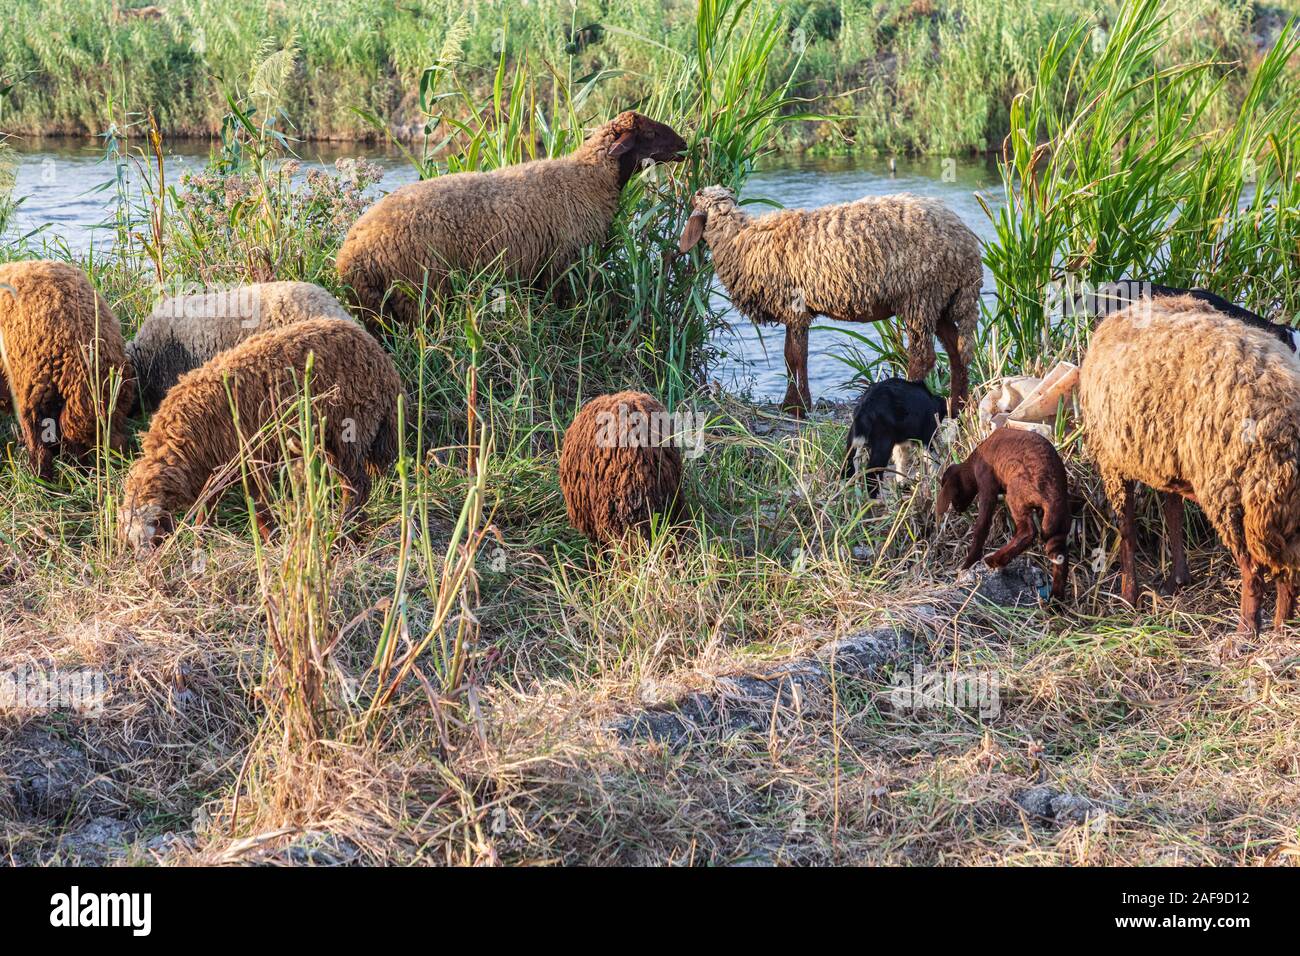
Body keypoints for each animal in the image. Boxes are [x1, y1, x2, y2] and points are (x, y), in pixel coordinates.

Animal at [119, 317, 402, 552]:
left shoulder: (249, 458)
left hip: (350, 428)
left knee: (357, 486)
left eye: (151, 533)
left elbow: (258, 504)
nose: (145, 564)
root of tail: (384, 364)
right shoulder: (222, 466)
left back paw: (346, 535)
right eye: (130, 542)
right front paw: (201, 539)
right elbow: (211, 505)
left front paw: (273, 539)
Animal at [336, 111, 688, 329]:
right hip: (416, 292)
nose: (685, 145)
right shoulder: (563, 264)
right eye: (651, 132)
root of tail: (351, 256)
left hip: (376, 307)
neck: (589, 178)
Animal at [678, 186, 982, 418]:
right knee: (956, 350)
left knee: (923, 356)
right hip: (940, 299)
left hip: (920, 296)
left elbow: (796, 356)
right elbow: (790, 356)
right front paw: (792, 405)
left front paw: (799, 407)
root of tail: (968, 246)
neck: (741, 241)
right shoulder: (794, 312)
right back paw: (957, 406)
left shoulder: (795, 309)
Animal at [936, 427, 1072, 601]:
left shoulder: (987, 484)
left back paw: (994, 561)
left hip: (1016, 494)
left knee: (1027, 531)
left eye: (954, 495)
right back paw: (1056, 598)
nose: (958, 510)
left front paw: (968, 564)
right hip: (1060, 520)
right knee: (1060, 553)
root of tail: (1052, 493)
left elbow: (981, 527)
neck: (971, 464)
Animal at [1079, 295, 1300, 635]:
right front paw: (1176, 581)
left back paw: (1246, 631)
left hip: (1230, 494)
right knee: (1287, 573)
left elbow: (1127, 529)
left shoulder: (1112, 461)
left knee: (1253, 571)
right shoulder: (1169, 464)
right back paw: (1280, 628)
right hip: (1276, 509)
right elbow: (1173, 515)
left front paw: (1129, 597)